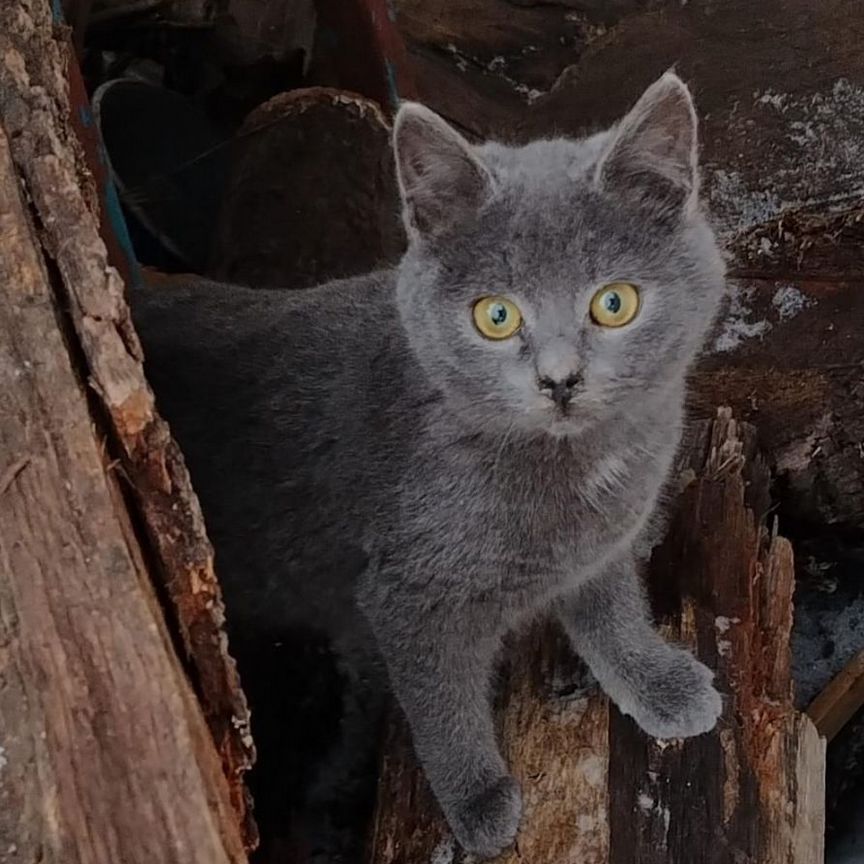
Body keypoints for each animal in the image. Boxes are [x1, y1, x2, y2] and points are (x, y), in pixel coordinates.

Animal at [133, 74, 728, 856]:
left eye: (614, 302)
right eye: (495, 317)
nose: (559, 380)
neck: (577, 471)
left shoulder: (599, 544)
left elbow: (612, 608)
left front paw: (655, 679)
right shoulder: (409, 596)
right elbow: (442, 703)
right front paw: (478, 801)